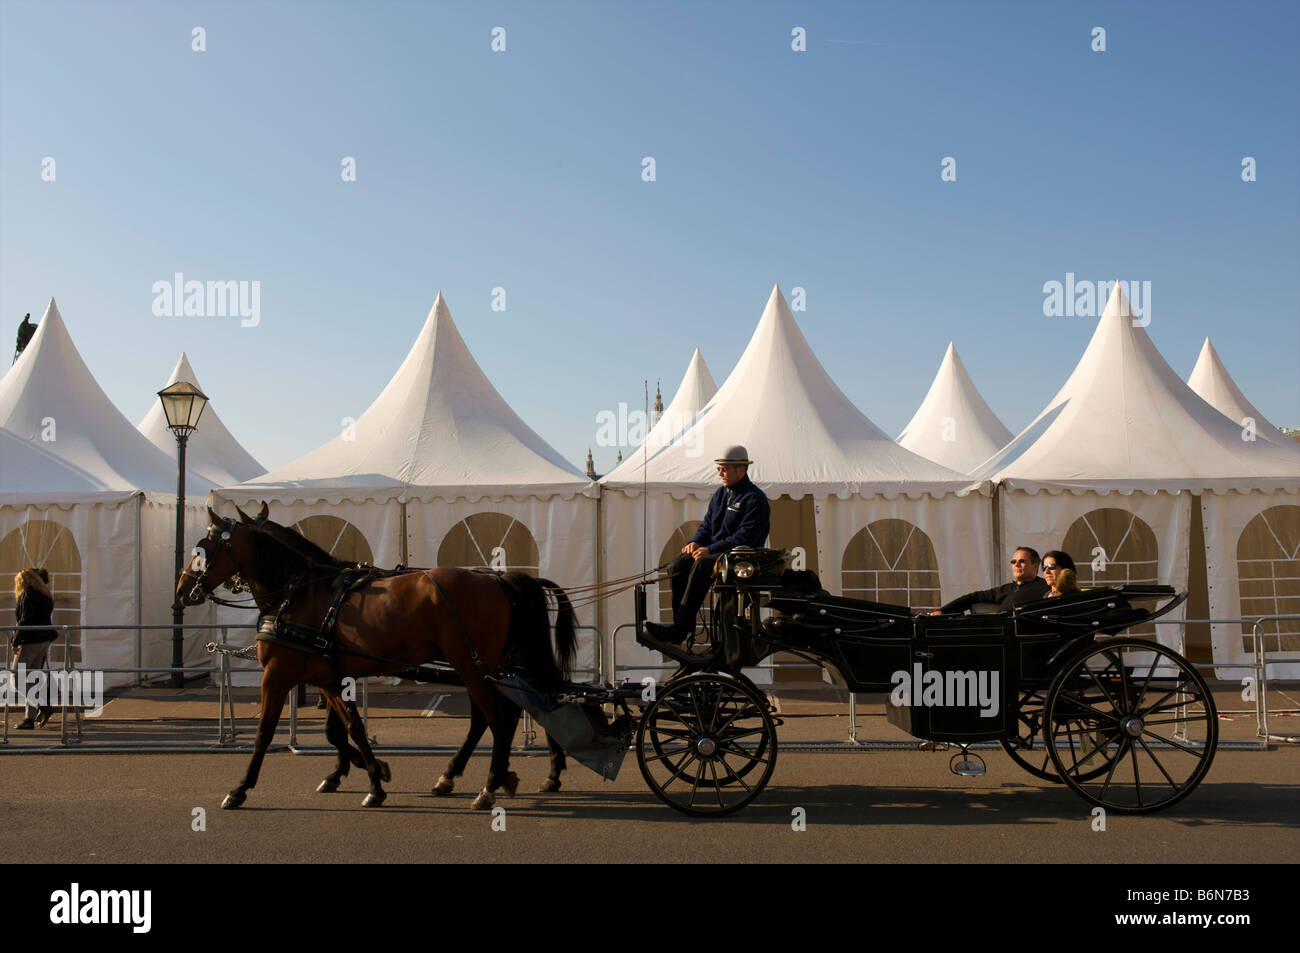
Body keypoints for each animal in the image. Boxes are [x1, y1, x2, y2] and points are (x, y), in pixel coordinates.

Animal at [179, 504, 574, 811]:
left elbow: (266, 733)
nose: (182, 590)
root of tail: (499, 580)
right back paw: (492, 774)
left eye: (202, 549)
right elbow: (347, 728)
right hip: (489, 665)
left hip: (474, 666)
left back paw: (491, 785)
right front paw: (369, 775)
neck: (298, 592)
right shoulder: (330, 678)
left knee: (501, 718)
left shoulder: (276, 676)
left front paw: (240, 788)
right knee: (515, 708)